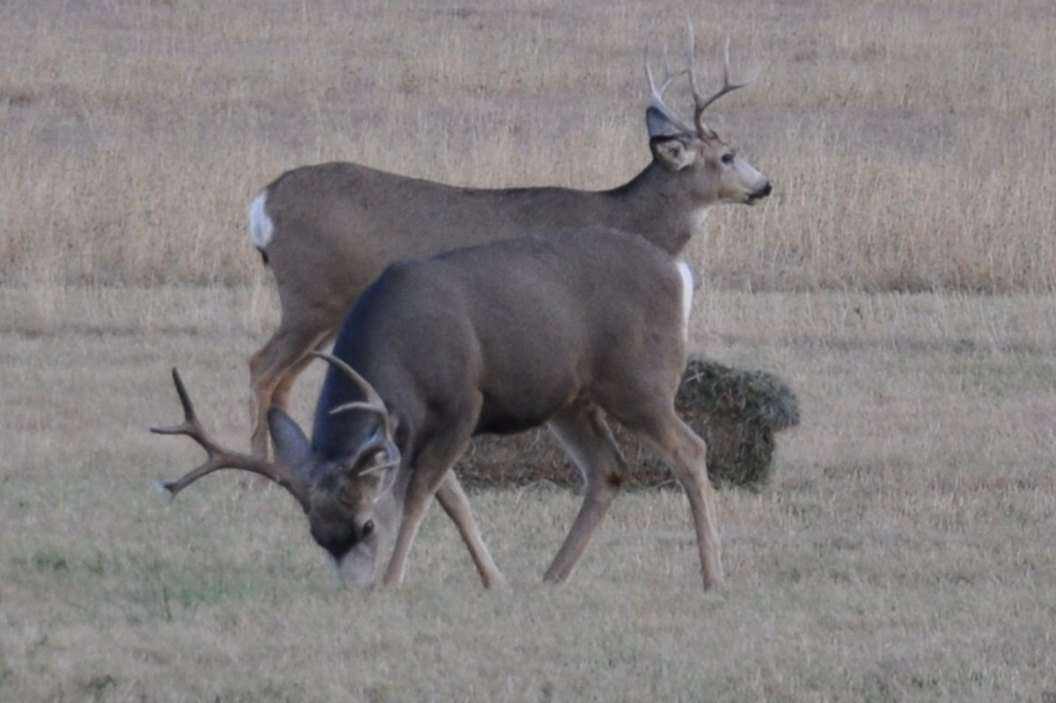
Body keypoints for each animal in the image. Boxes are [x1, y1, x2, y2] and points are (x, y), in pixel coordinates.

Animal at [155, 226, 752, 590]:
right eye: (317, 535)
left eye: (364, 527)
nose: (355, 590)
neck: (399, 347)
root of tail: (680, 273)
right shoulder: (413, 427)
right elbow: (455, 500)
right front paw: (496, 580)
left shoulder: (463, 404)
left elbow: (418, 496)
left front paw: (393, 581)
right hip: (569, 399)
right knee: (609, 468)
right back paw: (550, 576)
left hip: (639, 383)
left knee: (691, 449)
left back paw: (713, 577)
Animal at [245, 29, 771, 459]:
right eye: (728, 155)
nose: (765, 186)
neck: (624, 217)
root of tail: (264, 200)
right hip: (310, 295)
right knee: (262, 366)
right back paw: (262, 463)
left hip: (327, 309)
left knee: (284, 378)